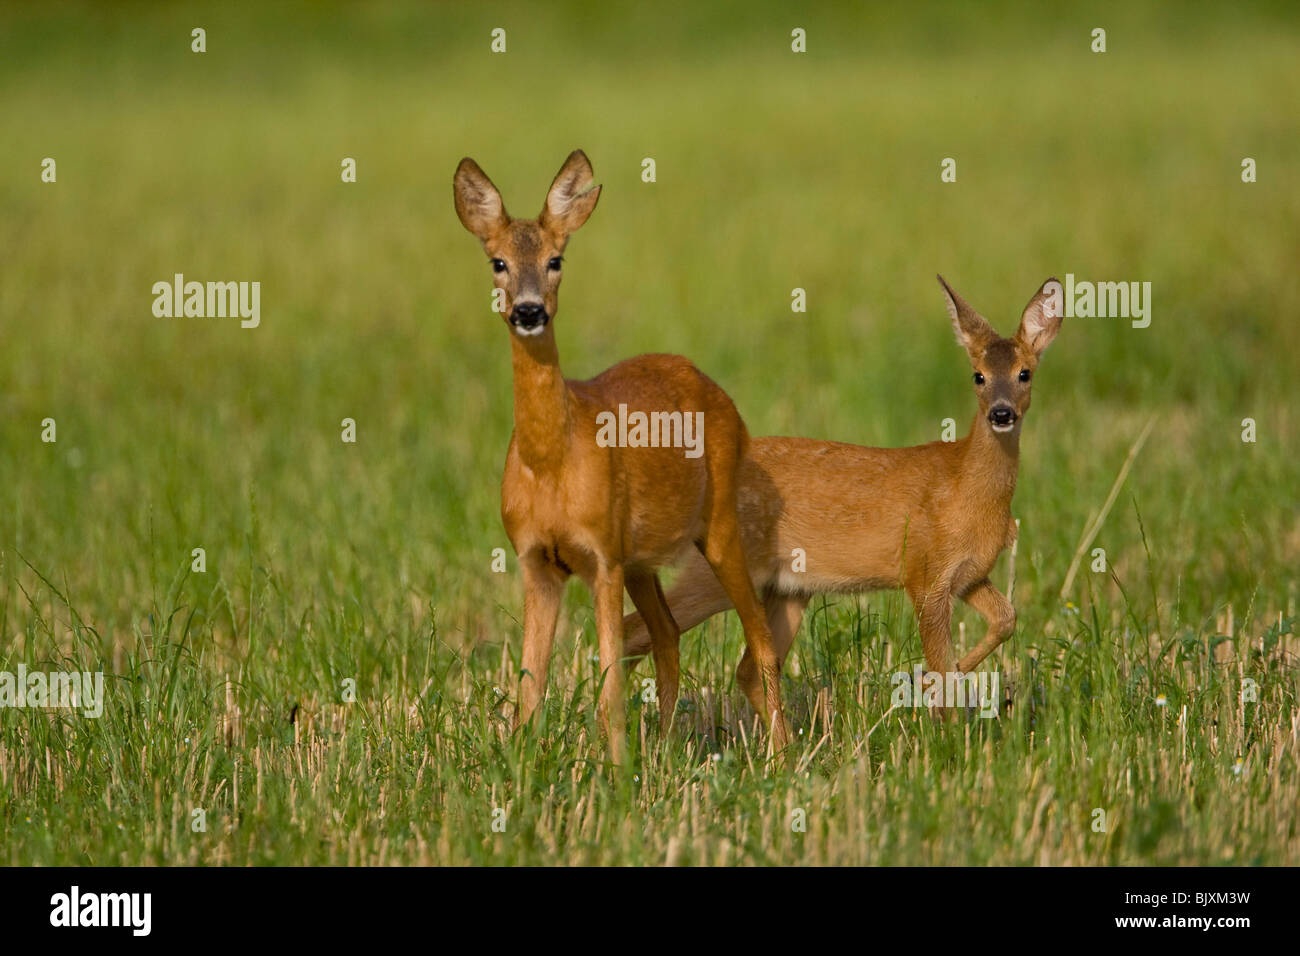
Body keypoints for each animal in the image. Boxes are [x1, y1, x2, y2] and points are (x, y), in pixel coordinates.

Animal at [452, 149, 790, 764]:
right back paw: (666, 748)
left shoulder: (602, 555)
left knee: (759, 637)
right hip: (643, 559)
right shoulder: (536, 559)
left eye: (556, 259)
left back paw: (779, 755)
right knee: (668, 633)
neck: (552, 463)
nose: (529, 311)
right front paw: (523, 769)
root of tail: (719, 394)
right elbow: (529, 688)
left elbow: (609, 686)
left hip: (718, 524)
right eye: (498, 263)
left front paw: (615, 771)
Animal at [622, 276, 1064, 711]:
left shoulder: (970, 575)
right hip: (717, 567)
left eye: (1025, 373)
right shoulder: (925, 574)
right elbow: (945, 671)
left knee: (746, 668)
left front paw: (931, 678)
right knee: (640, 630)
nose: (1001, 413)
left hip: (789, 588)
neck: (968, 489)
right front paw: (937, 705)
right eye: (978, 376)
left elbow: (1006, 619)